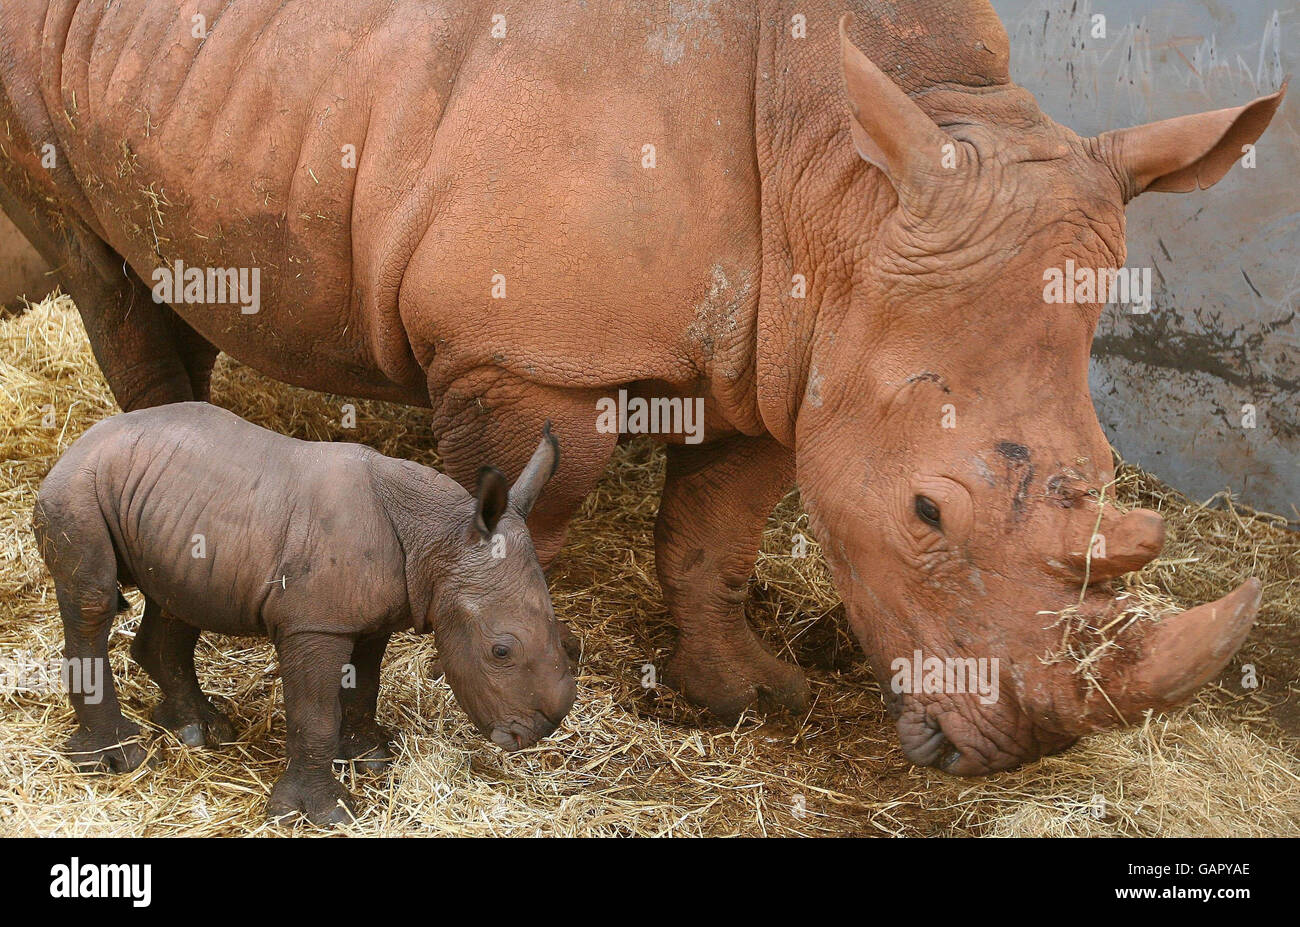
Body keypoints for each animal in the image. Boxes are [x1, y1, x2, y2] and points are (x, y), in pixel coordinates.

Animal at [0, 0, 1282, 774]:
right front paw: (503, 675)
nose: (1015, 746)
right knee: (94, 259)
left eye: (1111, 478)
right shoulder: (525, 354)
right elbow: (538, 508)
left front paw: (747, 694)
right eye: (927, 513)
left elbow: (715, 533)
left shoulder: (797, 349)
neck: (841, 184)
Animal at [34, 404, 576, 824]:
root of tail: (75, 444)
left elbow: (363, 685)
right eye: (500, 651)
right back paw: (118, 757)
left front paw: (371, 758)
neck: (441, 534)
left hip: (170, 508)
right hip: (76, 490)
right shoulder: (314, 624)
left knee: (174, 599)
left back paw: (199, 731)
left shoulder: (369, 616)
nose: (539, 731)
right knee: (93, 600)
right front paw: (325, 814)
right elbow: (313, 712)